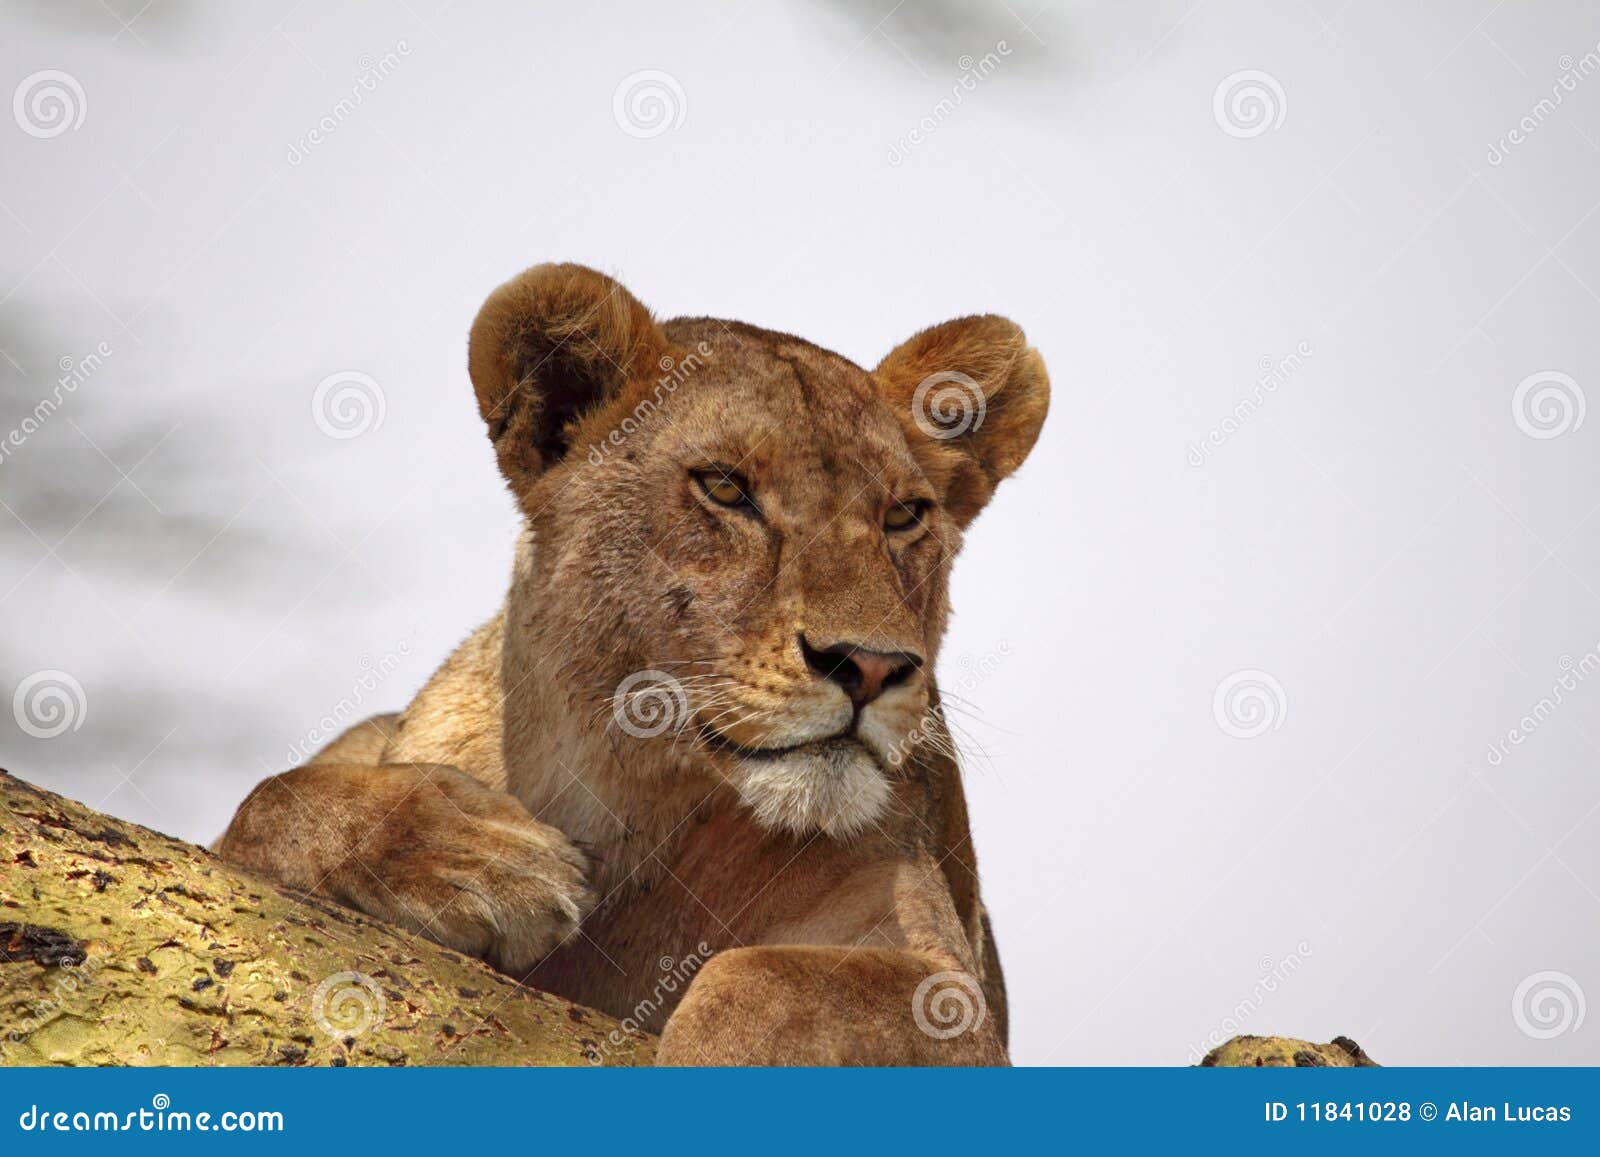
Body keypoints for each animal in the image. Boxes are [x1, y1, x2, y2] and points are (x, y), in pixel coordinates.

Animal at [216, 263, 1049, 1065]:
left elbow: (768, 979)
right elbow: (268, 800)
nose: (871, 666)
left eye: (904, 515)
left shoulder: (951, 991)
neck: (626, 792)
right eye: (725, 488)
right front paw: (482, 857)